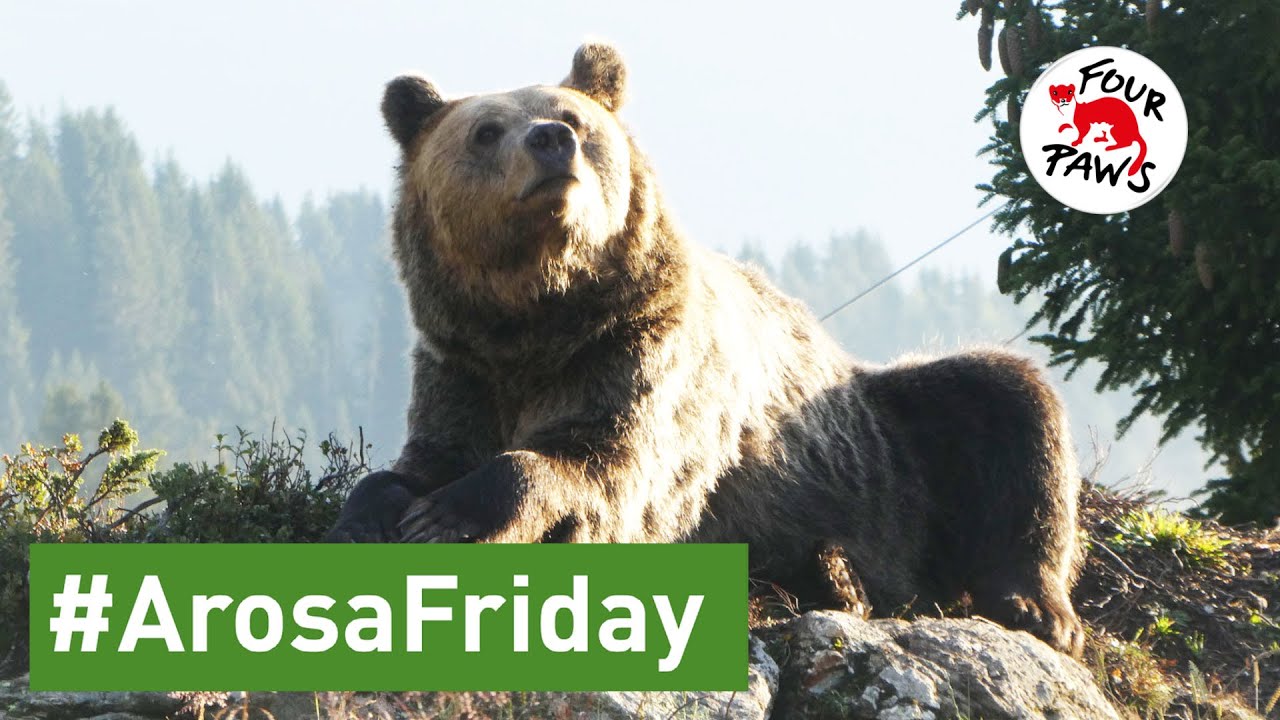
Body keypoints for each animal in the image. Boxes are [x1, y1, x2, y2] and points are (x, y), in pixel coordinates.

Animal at [327, 42, 1086, 657]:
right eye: (486, 130)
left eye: (576, 119)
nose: (549, 140)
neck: (538, 317)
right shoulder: (461, 367)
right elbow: (424, 458)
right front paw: (371, 515)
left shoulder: (635, 357)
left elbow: (602, 465)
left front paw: (448, 518)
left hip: (892, 448)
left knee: (1008, 402)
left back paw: (1031, 606)